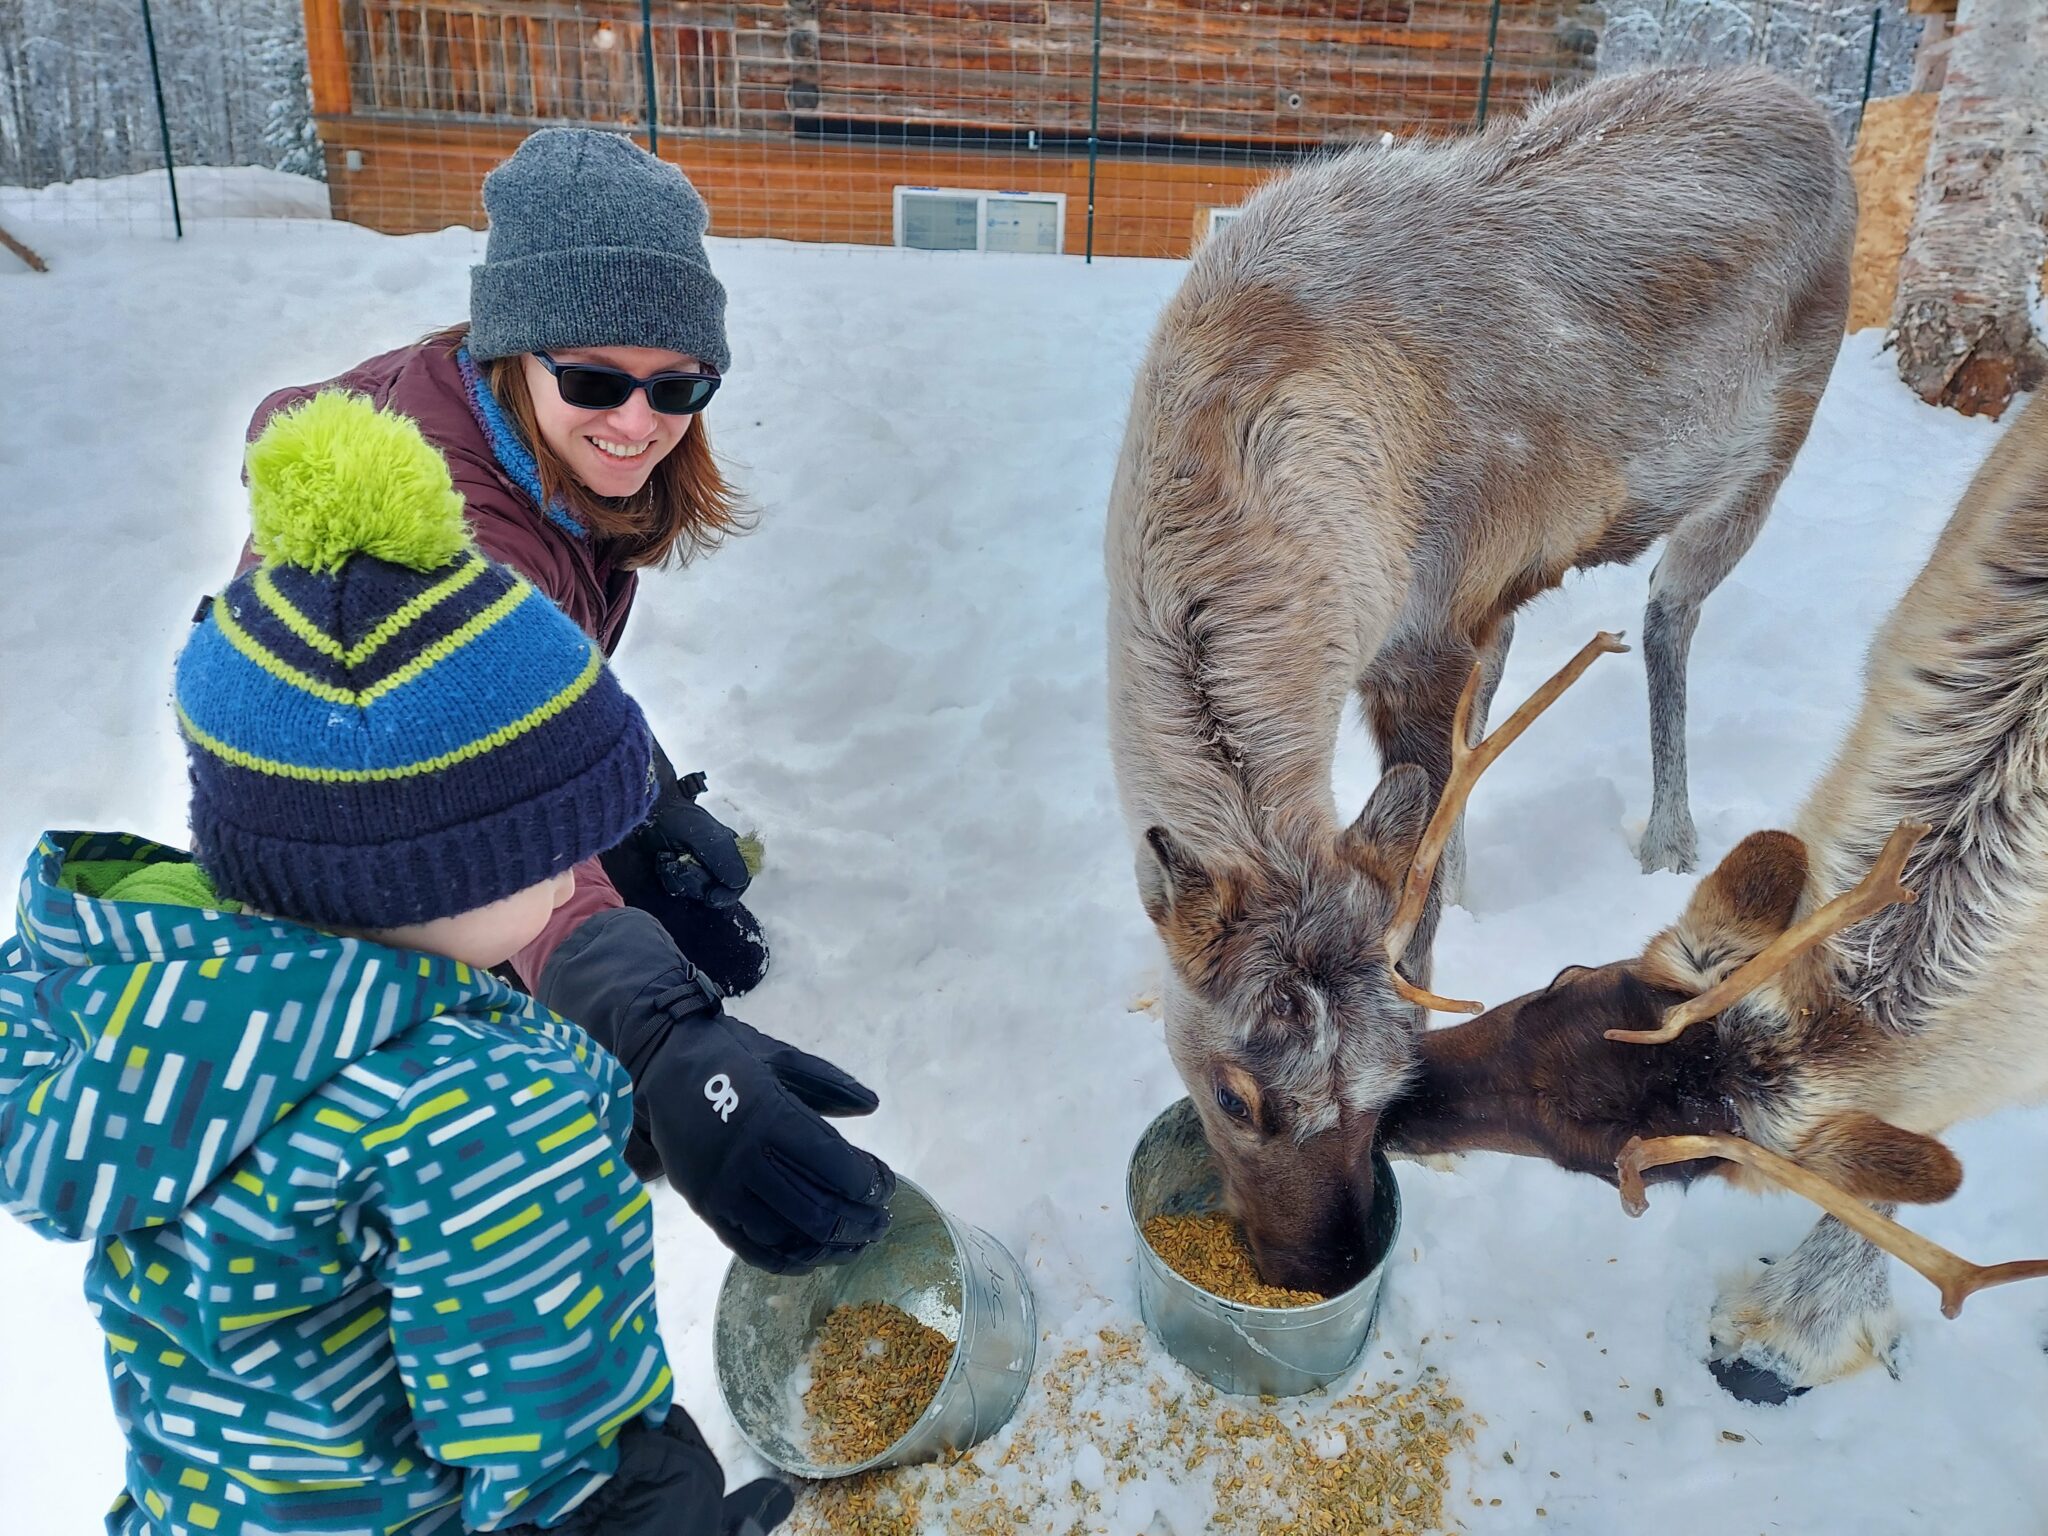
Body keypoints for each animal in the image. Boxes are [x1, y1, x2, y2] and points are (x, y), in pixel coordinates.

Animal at [1105, 65, 1855, 1296]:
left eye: (1391, 1086)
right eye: (1231, 1095)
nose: (1326, 1264)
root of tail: (1810, 108)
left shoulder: (1427, 624)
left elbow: (1415, 908)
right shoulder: (1450, 612)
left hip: (1761, 461)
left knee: (1669, 614)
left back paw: (1668, 831)